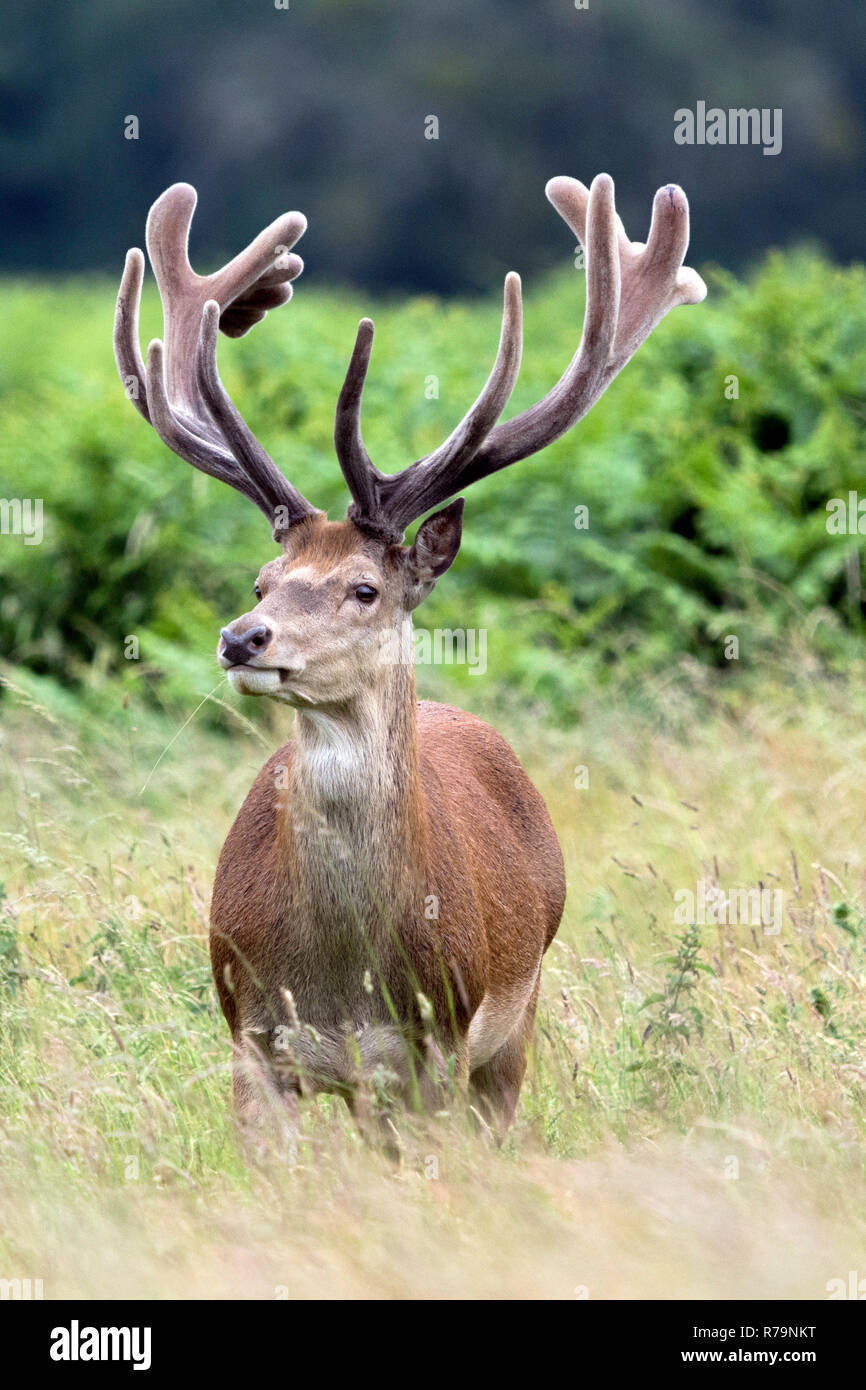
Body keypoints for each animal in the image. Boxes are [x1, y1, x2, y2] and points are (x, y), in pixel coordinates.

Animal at [114, 174, 705, 1140]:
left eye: (364, 589)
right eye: (261, 581)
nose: (243, 638)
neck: (341, 985)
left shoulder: (439, 1049)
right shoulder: (252, 1042)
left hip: (514, 1025)